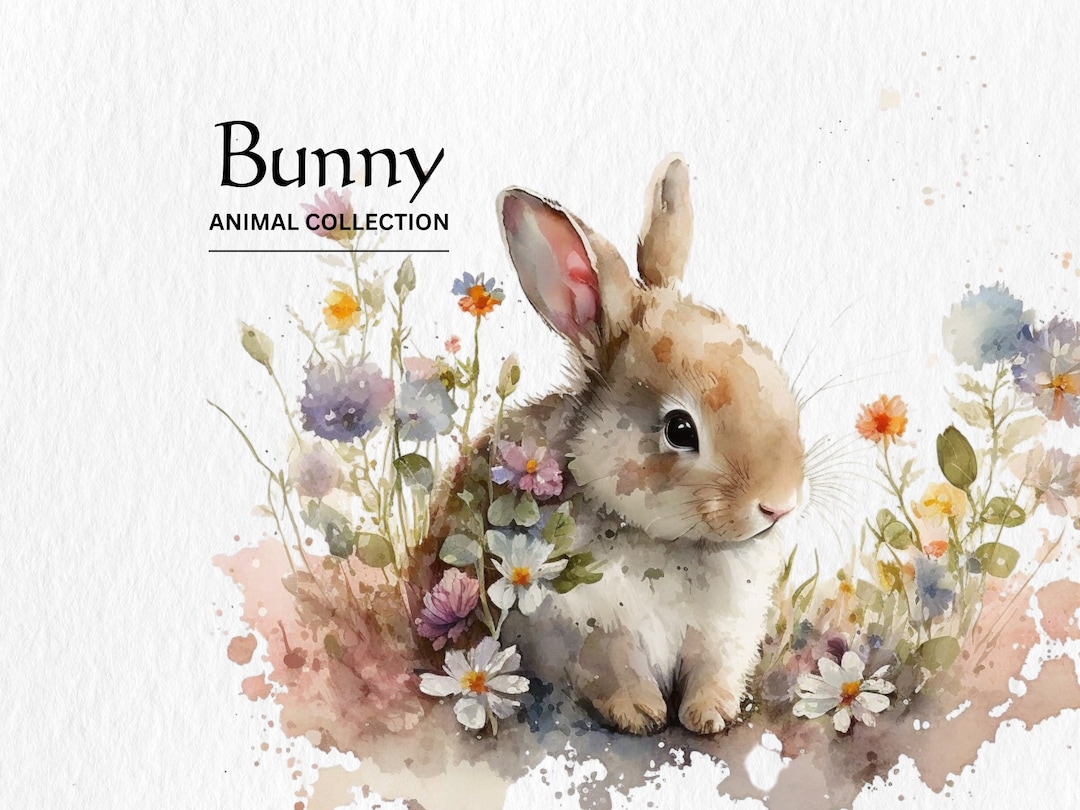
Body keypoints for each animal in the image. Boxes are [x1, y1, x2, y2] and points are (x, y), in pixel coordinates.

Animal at [423, 155, 805, 736]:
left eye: (774, 375)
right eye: (679, 429)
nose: (779, 504)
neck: (673, 541)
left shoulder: (725, 636)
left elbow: (715, 673)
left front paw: (710, 715)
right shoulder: (592, 631)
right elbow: (617, 674)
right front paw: (641, 716)